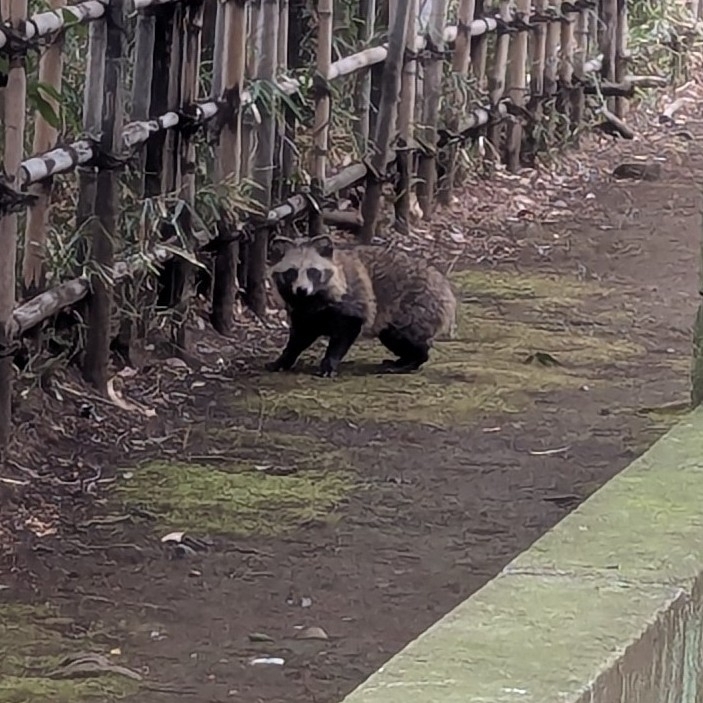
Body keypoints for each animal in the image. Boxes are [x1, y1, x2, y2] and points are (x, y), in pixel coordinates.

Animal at [266, 234, 457, 378]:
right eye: (292, 272)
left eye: (313, 272)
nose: (302, 289)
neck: (309, 300)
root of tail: (444, 288)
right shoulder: (302, 312)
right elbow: (300, 337)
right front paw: (285, 358)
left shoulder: (352, 301)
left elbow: (344, 334)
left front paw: (330, 362)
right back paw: (405, 359)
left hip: (413, 308)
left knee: (402, 336)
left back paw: (413, 360)